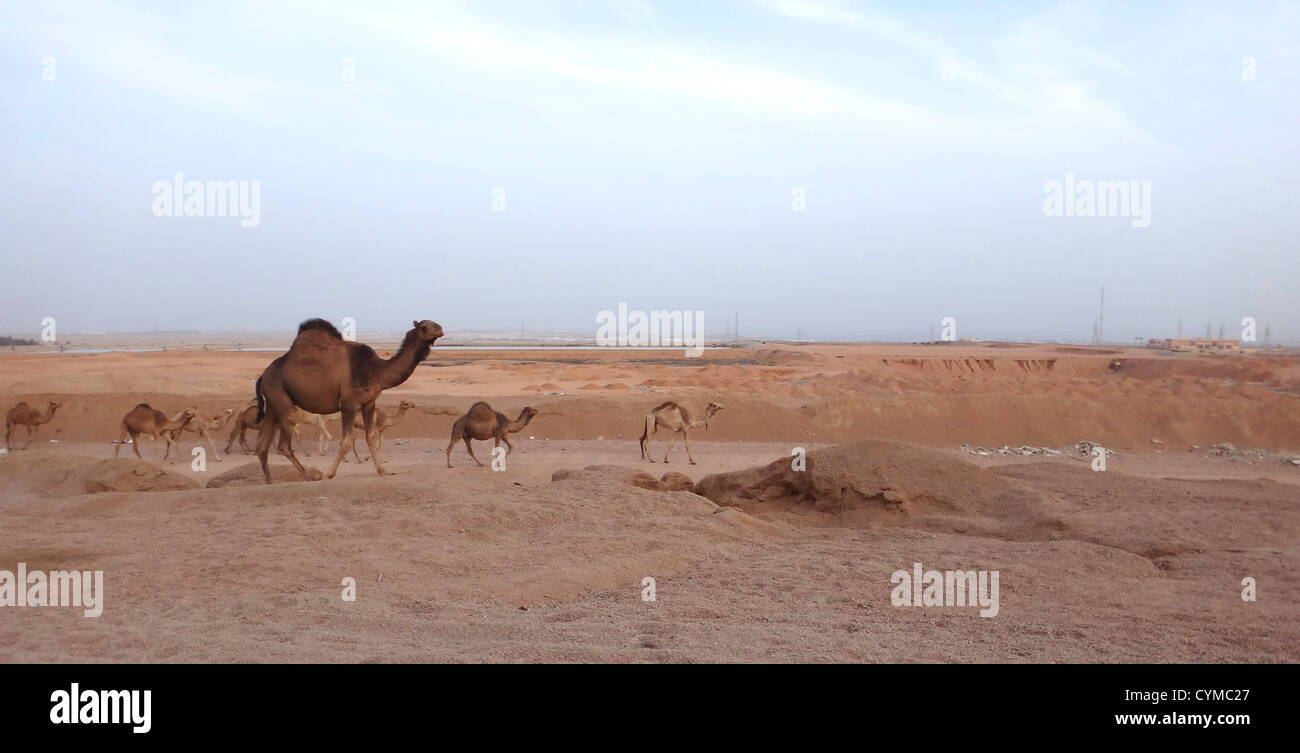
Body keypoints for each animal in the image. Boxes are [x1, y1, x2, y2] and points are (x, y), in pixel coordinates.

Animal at [254, 318, 443, 483]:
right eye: (424, 326)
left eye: (434, 323)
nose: (440, 329)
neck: (376, 371)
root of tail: (263, 375)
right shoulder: (349, 404)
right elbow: (345, 441)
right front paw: (330, 474)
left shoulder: (369, 403)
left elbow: (371, 437)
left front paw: (383, 471)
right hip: (282, 401)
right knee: (284, 445)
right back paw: (308, 475)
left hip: (272, 405)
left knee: (262, 445)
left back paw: (270, 481)